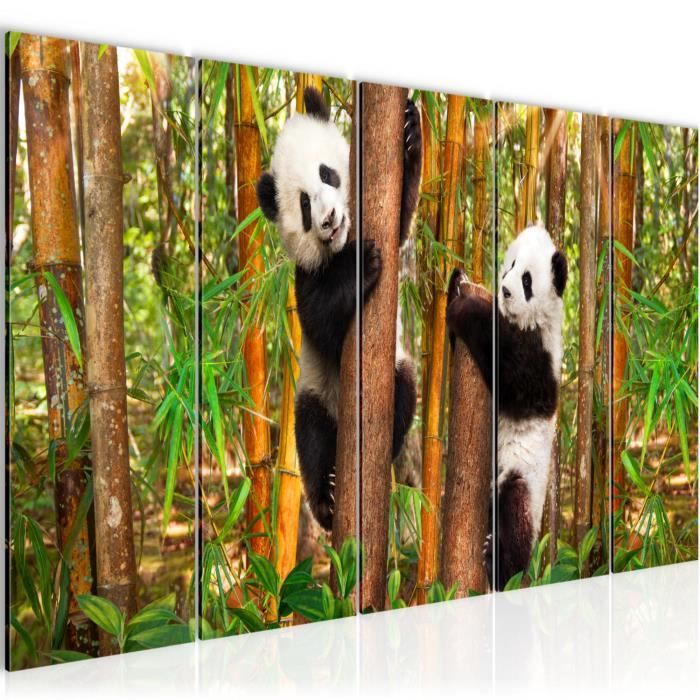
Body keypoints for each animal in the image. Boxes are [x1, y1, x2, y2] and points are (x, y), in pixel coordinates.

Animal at [256, 87, 421, 530]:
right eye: (304, 205)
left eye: (327, 174)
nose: (329, 218)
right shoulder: (305, 276)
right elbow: (321, 322)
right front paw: (359, 266)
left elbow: (401, 216)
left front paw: (410, 131)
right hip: (314, 391)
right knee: (311, 438)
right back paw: (327, 497)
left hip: (396, 367)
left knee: (404, 390)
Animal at [446, 225, 568, 590]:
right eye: (510, 264)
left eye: (527, 280)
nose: (504, 290)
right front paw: (456, 280)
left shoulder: (541, 356)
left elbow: (514, 379)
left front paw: (466, 305)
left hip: (524, 475)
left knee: (516, 512)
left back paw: (499, 564)